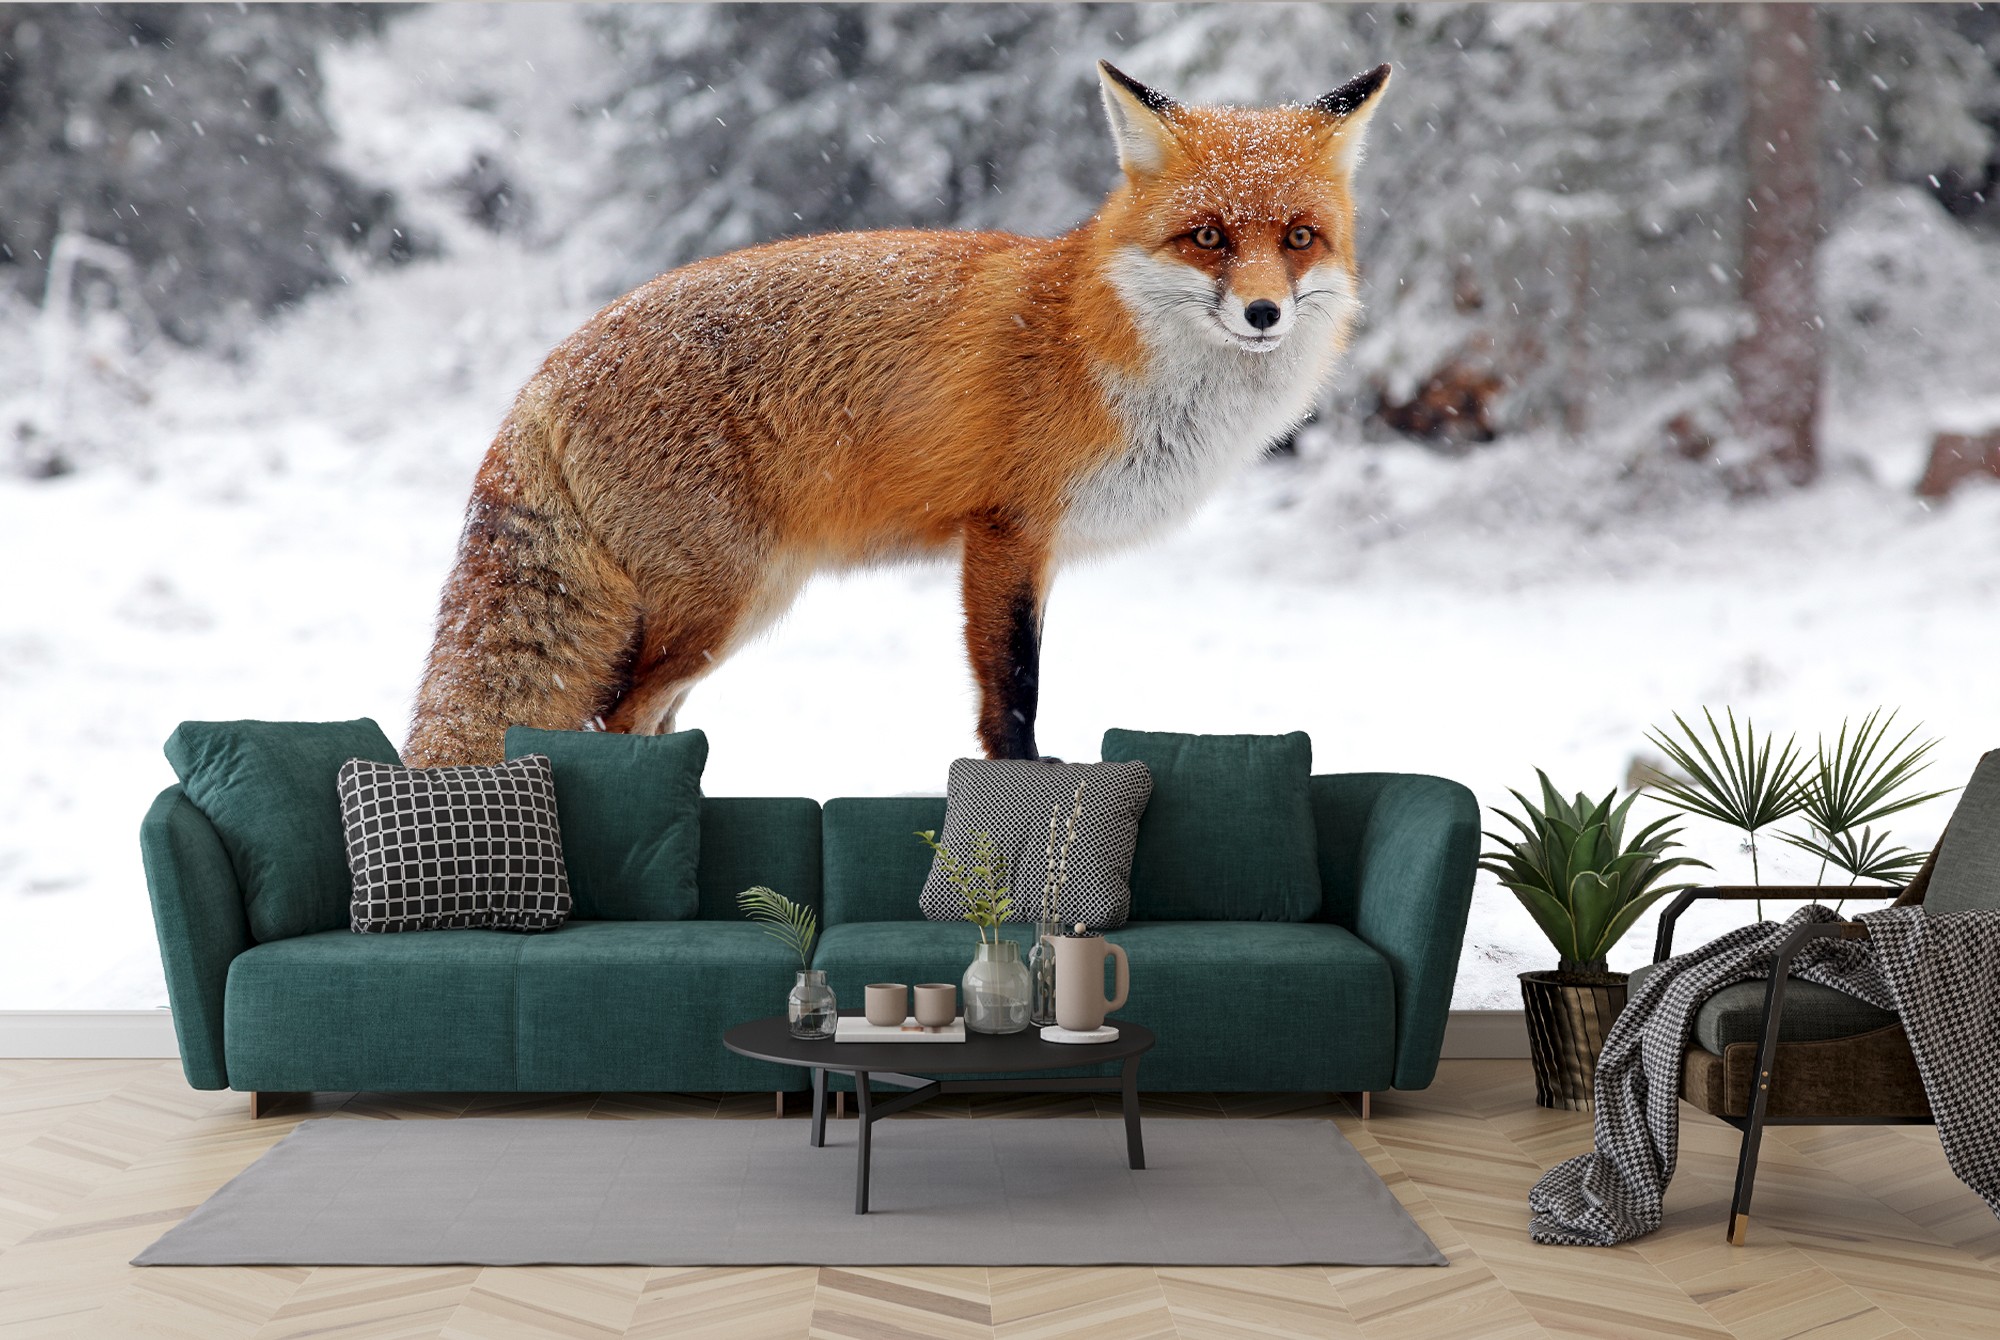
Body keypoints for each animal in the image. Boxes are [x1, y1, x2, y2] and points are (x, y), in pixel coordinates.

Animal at [405, 60, 1391, 767]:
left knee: (644, 722)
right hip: (722, 605)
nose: (1263, 313)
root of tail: (546, 373)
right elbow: (1014, 696)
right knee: (616, 720)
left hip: (727, 614)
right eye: (1209, 237)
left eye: (1299, 238)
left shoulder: (1030, 546)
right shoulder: (1007, 532)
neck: (1097, 345)